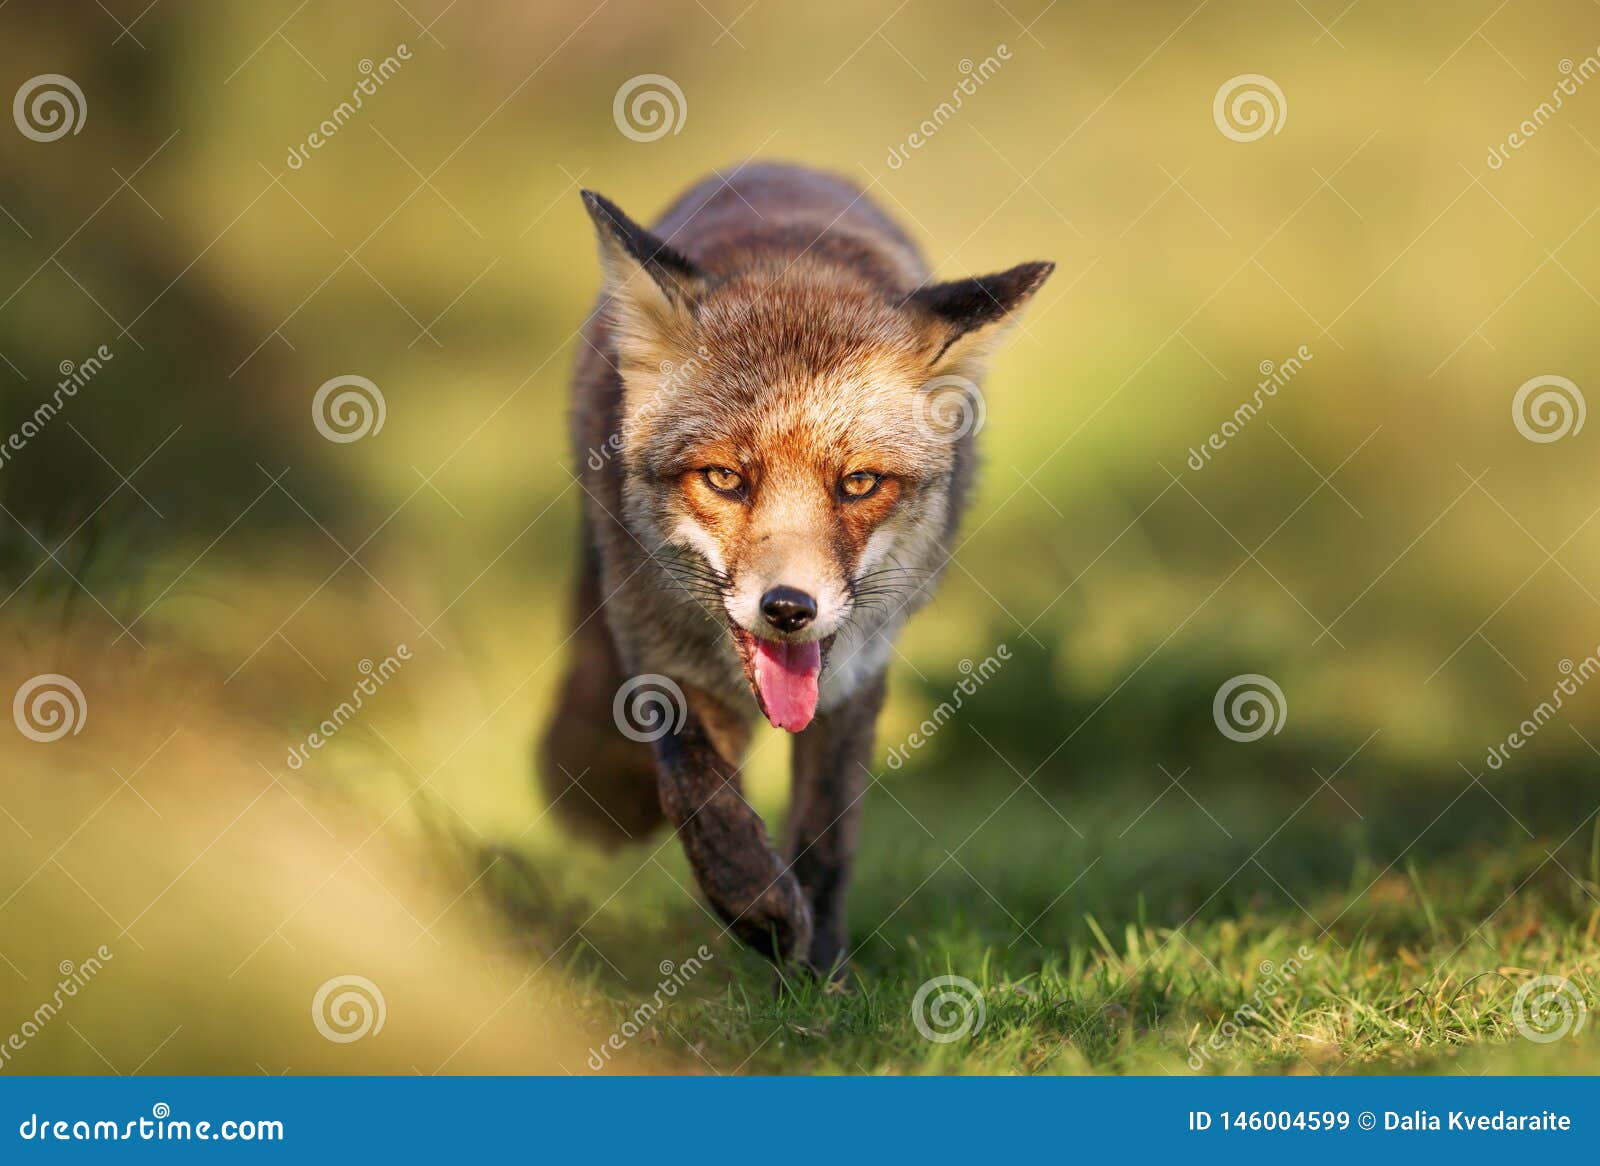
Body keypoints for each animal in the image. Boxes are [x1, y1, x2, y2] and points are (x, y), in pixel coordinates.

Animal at [539, 161, 1051, 977]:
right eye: (725, 479)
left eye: (860, 483)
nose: (788, 609)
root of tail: (775, 165)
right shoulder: (661, 656)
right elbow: (697, 795)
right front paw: (758, 906)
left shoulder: (853, 681)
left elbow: (827, 833)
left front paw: (821, 974)